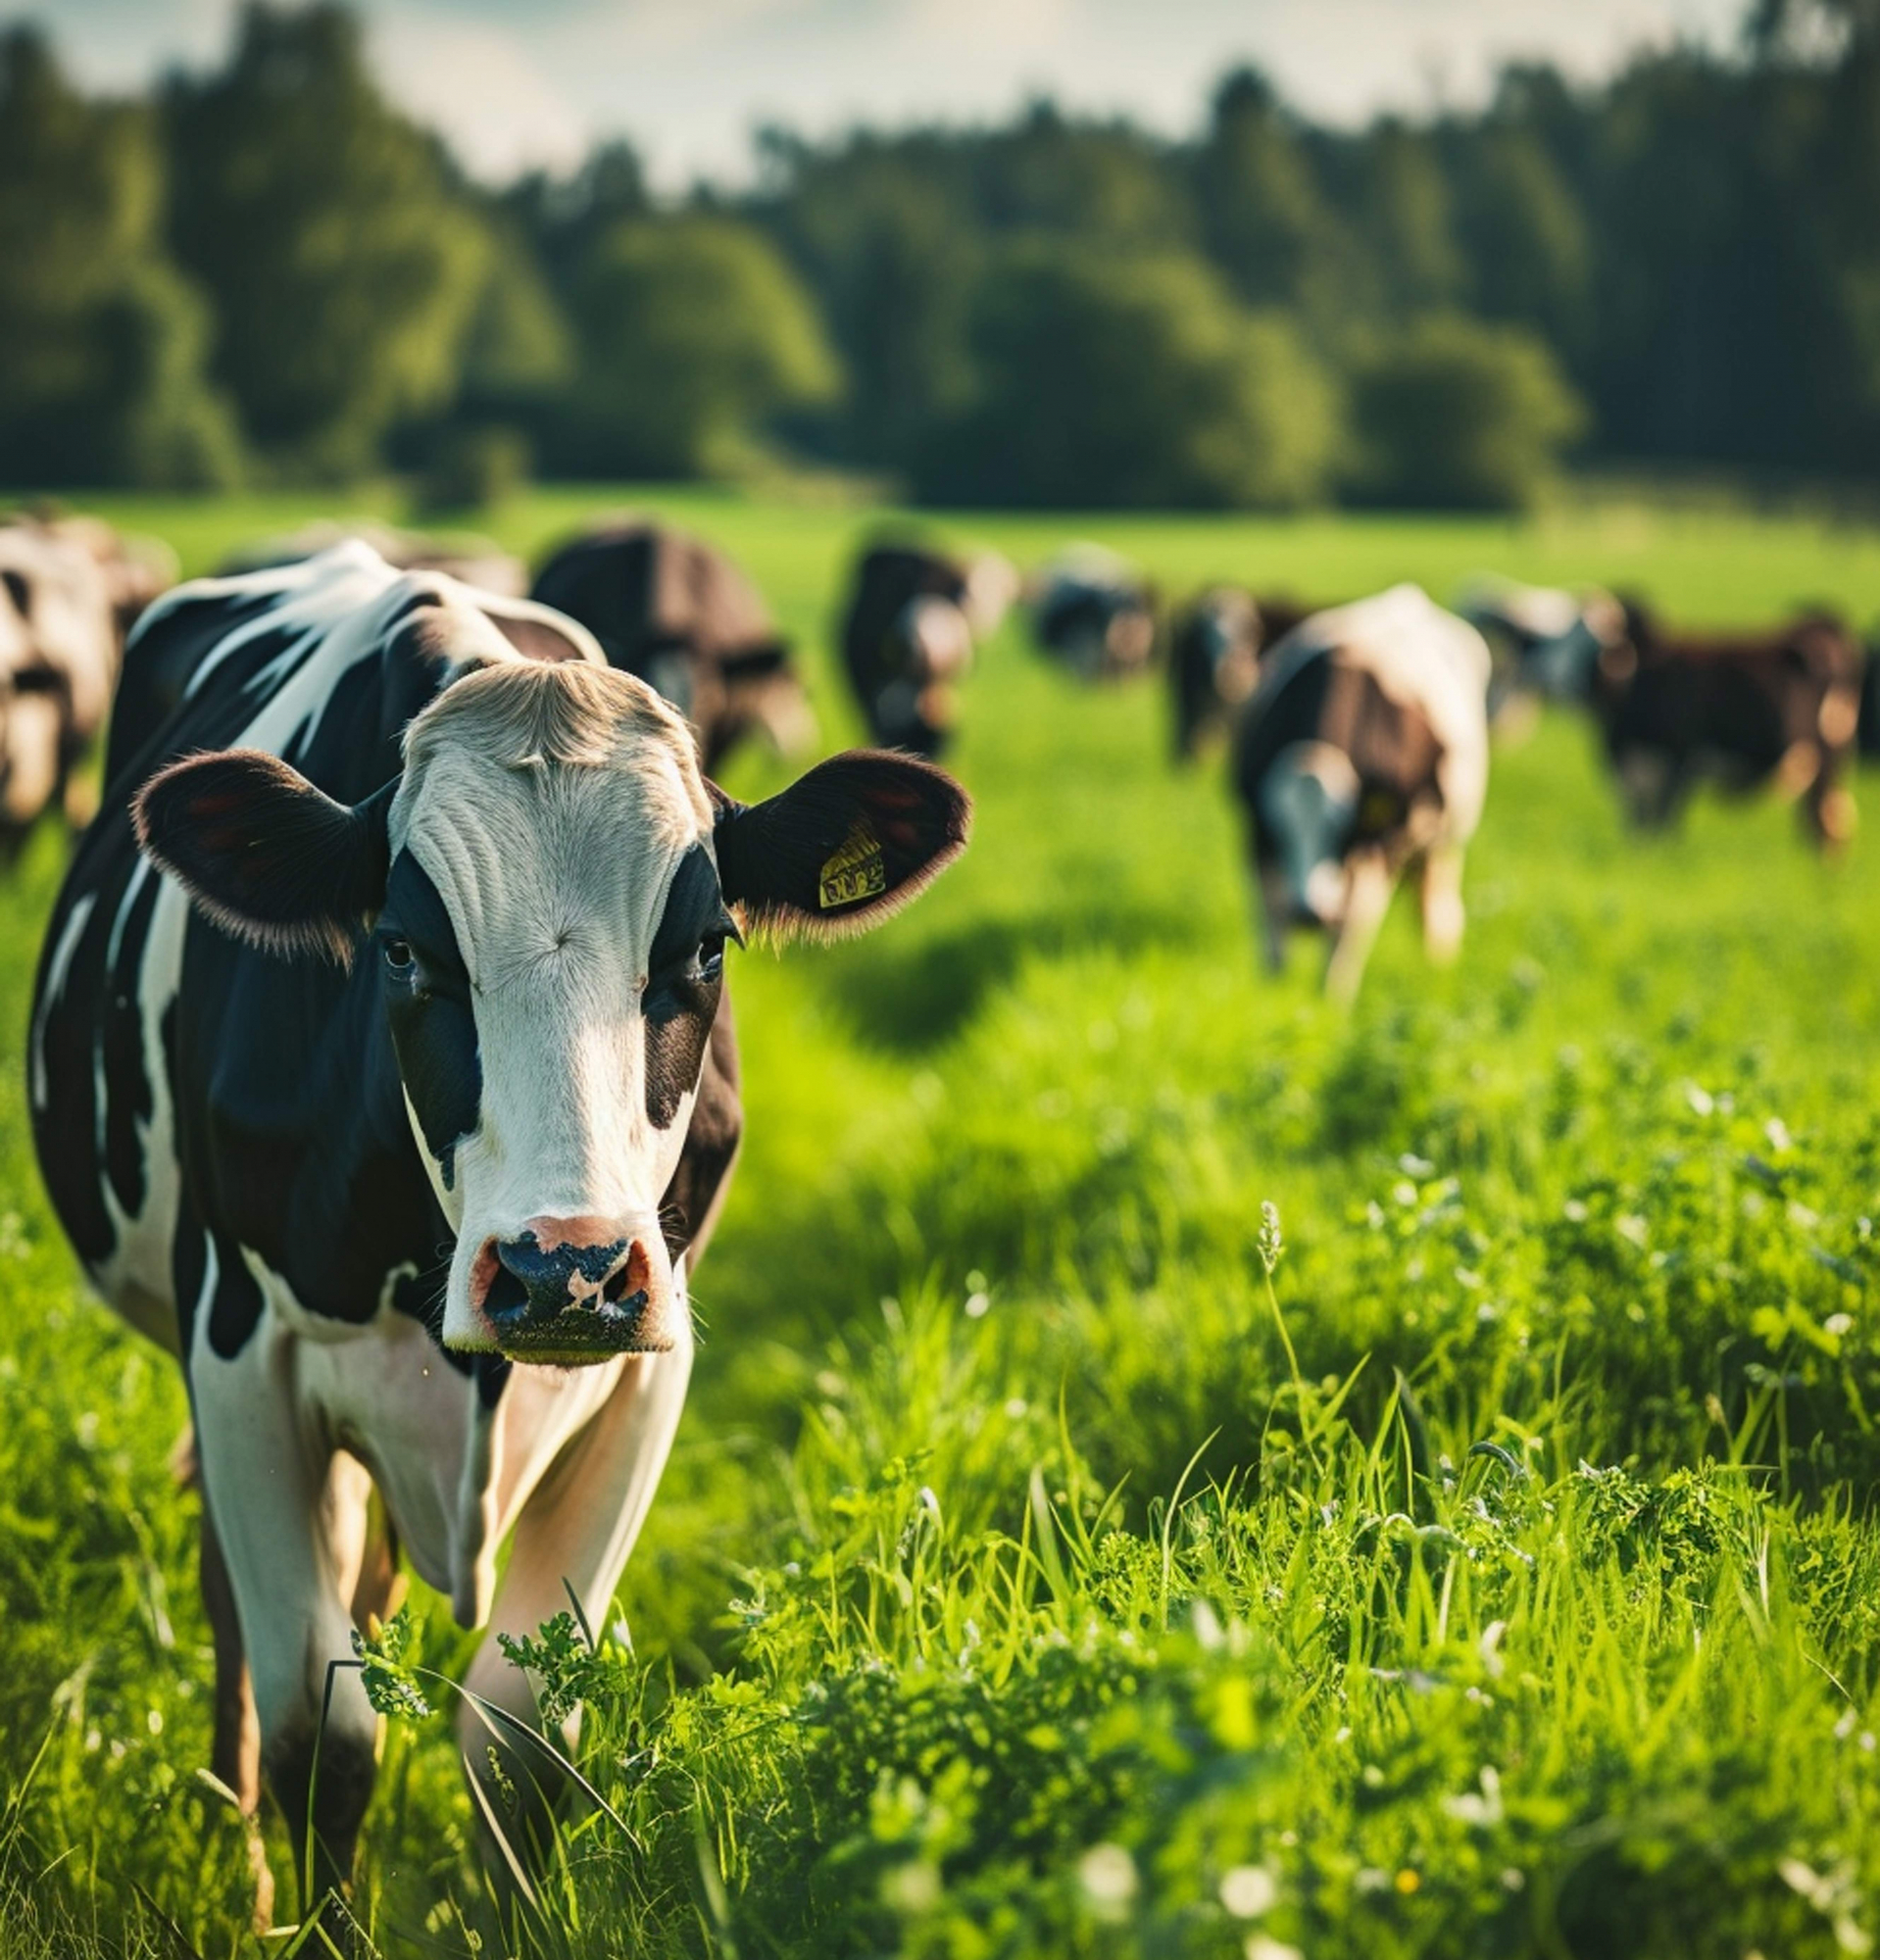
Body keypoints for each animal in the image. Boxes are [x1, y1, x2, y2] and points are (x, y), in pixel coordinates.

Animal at [1233, 584, 1490, 1003]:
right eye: (1281, 829)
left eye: (1343, 829)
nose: (1310, 911)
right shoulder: (1257, 842)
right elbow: (1273, 941)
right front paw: (1272, 995)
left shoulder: (1377, 850)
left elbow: (1346, 939)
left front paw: (1331, 1002)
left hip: (1445, 840)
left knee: (1438, 908)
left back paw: (1437, 962)